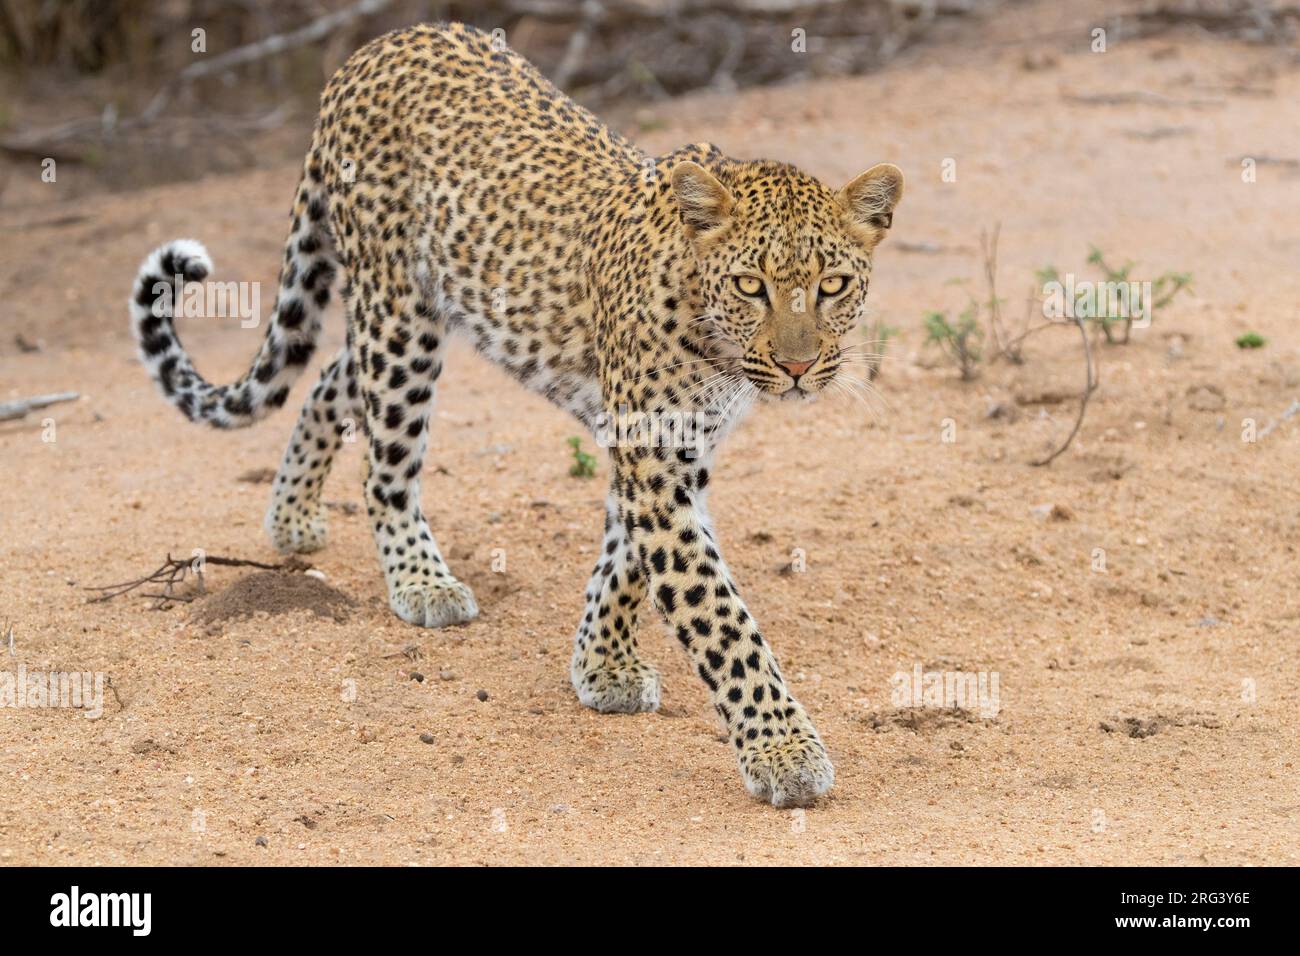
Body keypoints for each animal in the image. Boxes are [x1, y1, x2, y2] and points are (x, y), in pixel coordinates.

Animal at [129, 21, 903, 807]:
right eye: (751, 286)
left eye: (833, 286)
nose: (799, 367)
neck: (712, 334)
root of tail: (380, 45)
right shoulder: (653, 459)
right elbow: (719, 618)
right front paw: (784, 750)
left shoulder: (675, 451)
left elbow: (624, 563)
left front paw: (602, 664)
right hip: (400, 314)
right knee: (384, 465)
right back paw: (421, 581)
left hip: (402, 317)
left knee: (327, 381)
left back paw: (291, 515)